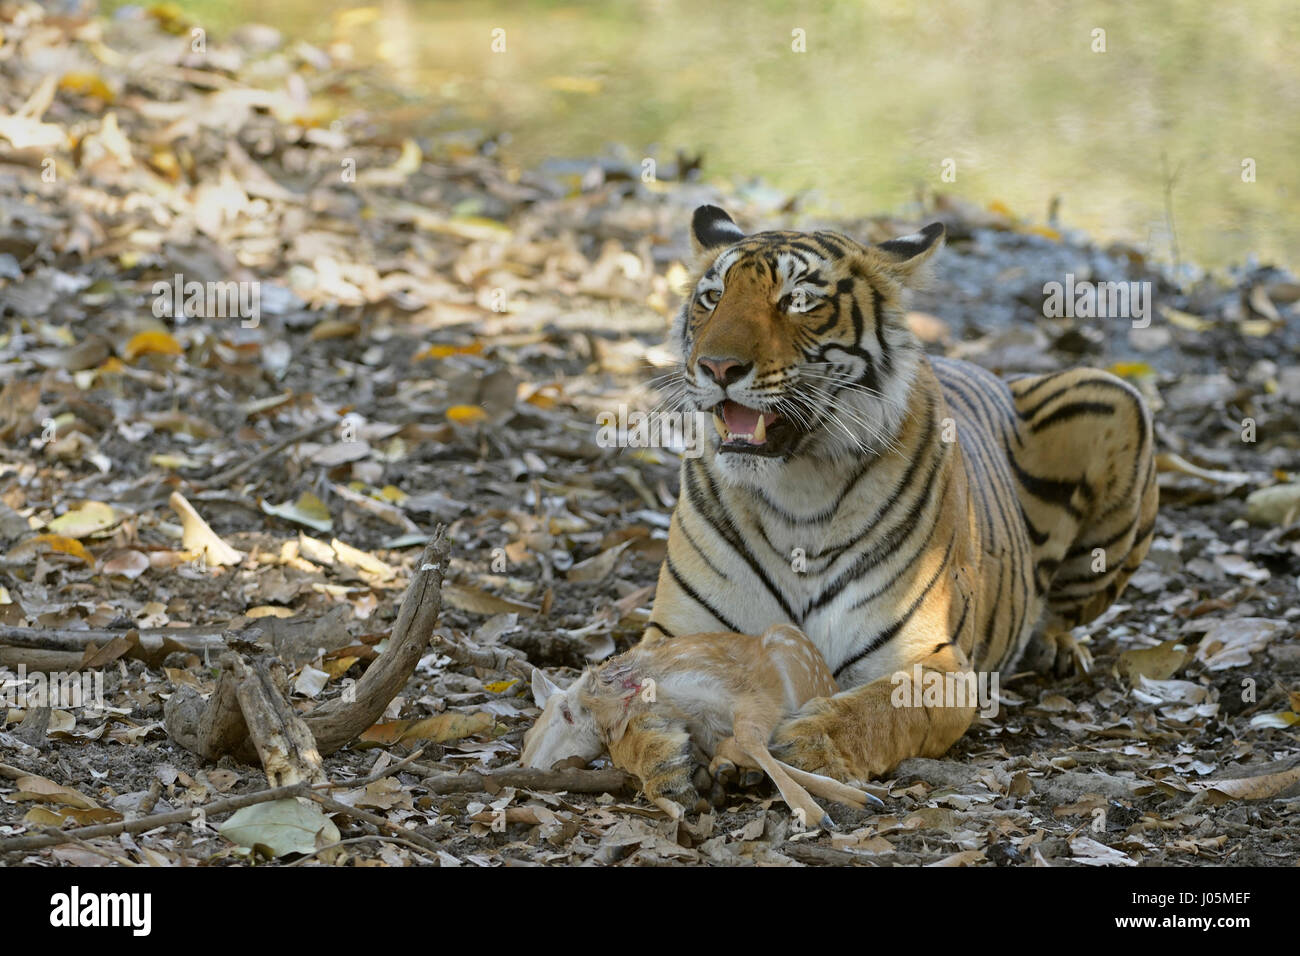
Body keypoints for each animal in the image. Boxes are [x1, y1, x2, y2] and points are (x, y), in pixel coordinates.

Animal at [520, 624, 882, 827]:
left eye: (563, 714)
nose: (524, 764)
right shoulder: (702, 724)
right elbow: (742, 743)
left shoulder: (748, 692)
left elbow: (749, 739)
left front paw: (818, 812)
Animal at [639, 204, 1158, 785]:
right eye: (712, 297)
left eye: (798, 300)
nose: (717, 367)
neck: (797, 490)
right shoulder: (675, 633)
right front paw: (663, 755)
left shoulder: (937, 661)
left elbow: (876, 710)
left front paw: (806, 744)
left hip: (1113, 396)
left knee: (1063, 613)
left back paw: (1057, 650)